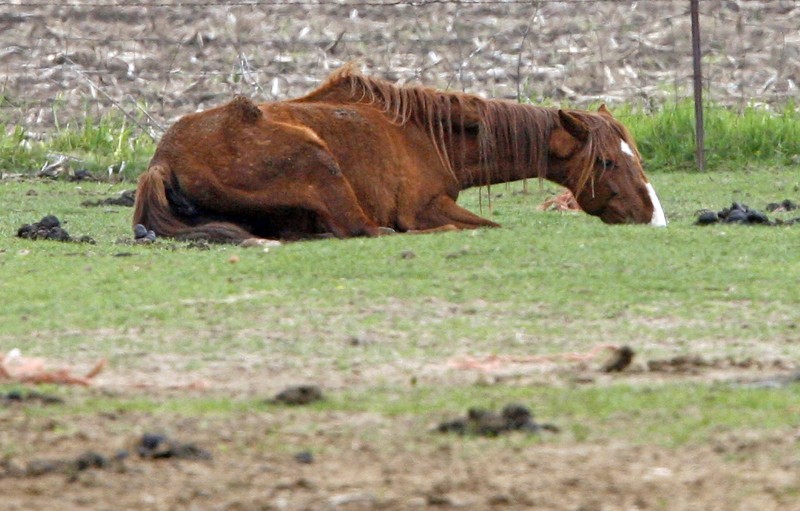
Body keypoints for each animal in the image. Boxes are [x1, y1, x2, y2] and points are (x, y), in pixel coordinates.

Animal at [133, 64, 666, 243]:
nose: (654, 217)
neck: (427, 136)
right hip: (319, 162)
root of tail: (162, 162)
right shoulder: (424, 208)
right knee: (367, 231)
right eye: (606, 162)